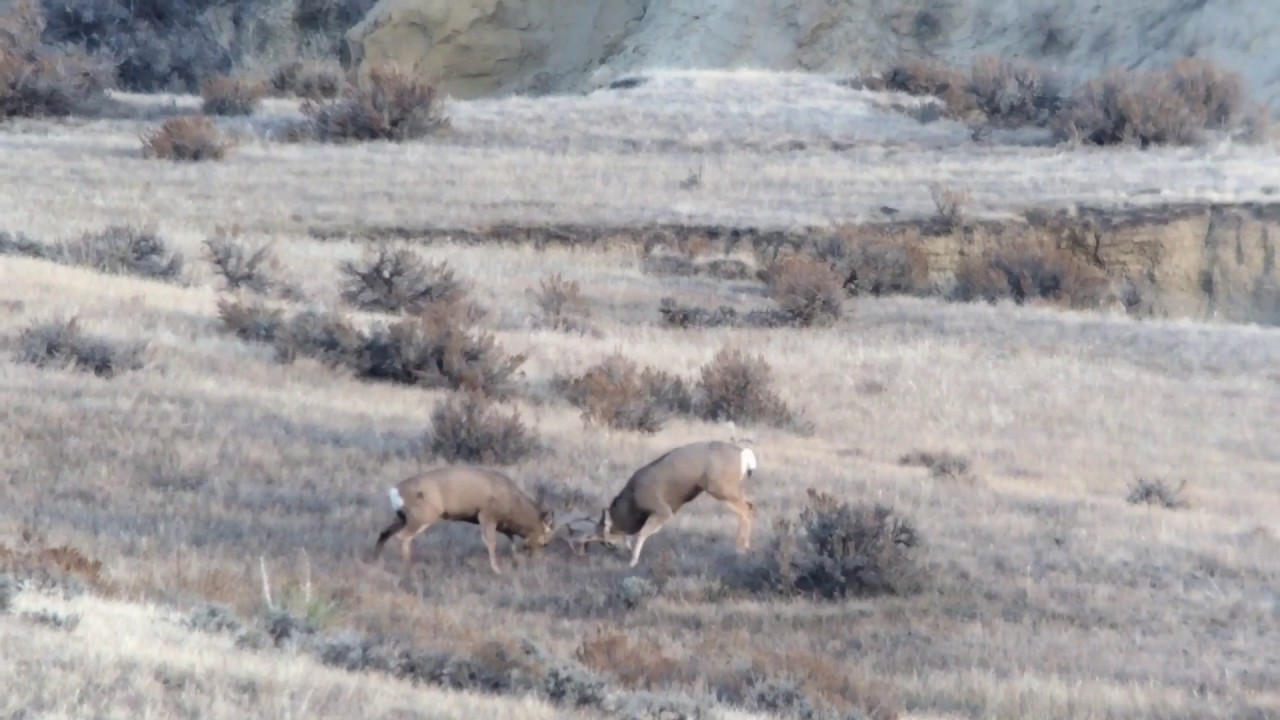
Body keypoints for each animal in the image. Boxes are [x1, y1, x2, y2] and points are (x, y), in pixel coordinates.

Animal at [371, 465, 557, 577]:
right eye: (545, 542)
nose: (536, 560)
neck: (513, 503)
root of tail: (395, 491)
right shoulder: (486, 515)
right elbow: (491, 543)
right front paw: (496, 570)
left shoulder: (502, 525)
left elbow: (511, 541)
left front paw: (514, 561)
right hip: (423, 516)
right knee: (403, 537)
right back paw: (407, 567)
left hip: (402, 517)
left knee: (384, 533)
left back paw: (377, 559)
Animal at [565, 440, 757, 567]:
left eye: (607, 542)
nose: (617, 551)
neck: (633, 501)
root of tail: (745, 454)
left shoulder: (662, 510)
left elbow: (642, 533)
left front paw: (633, 561)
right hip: (731, 489)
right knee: (750, 506)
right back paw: (746, 547)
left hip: (720, 488)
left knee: (745, 510)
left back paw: (740, 549)